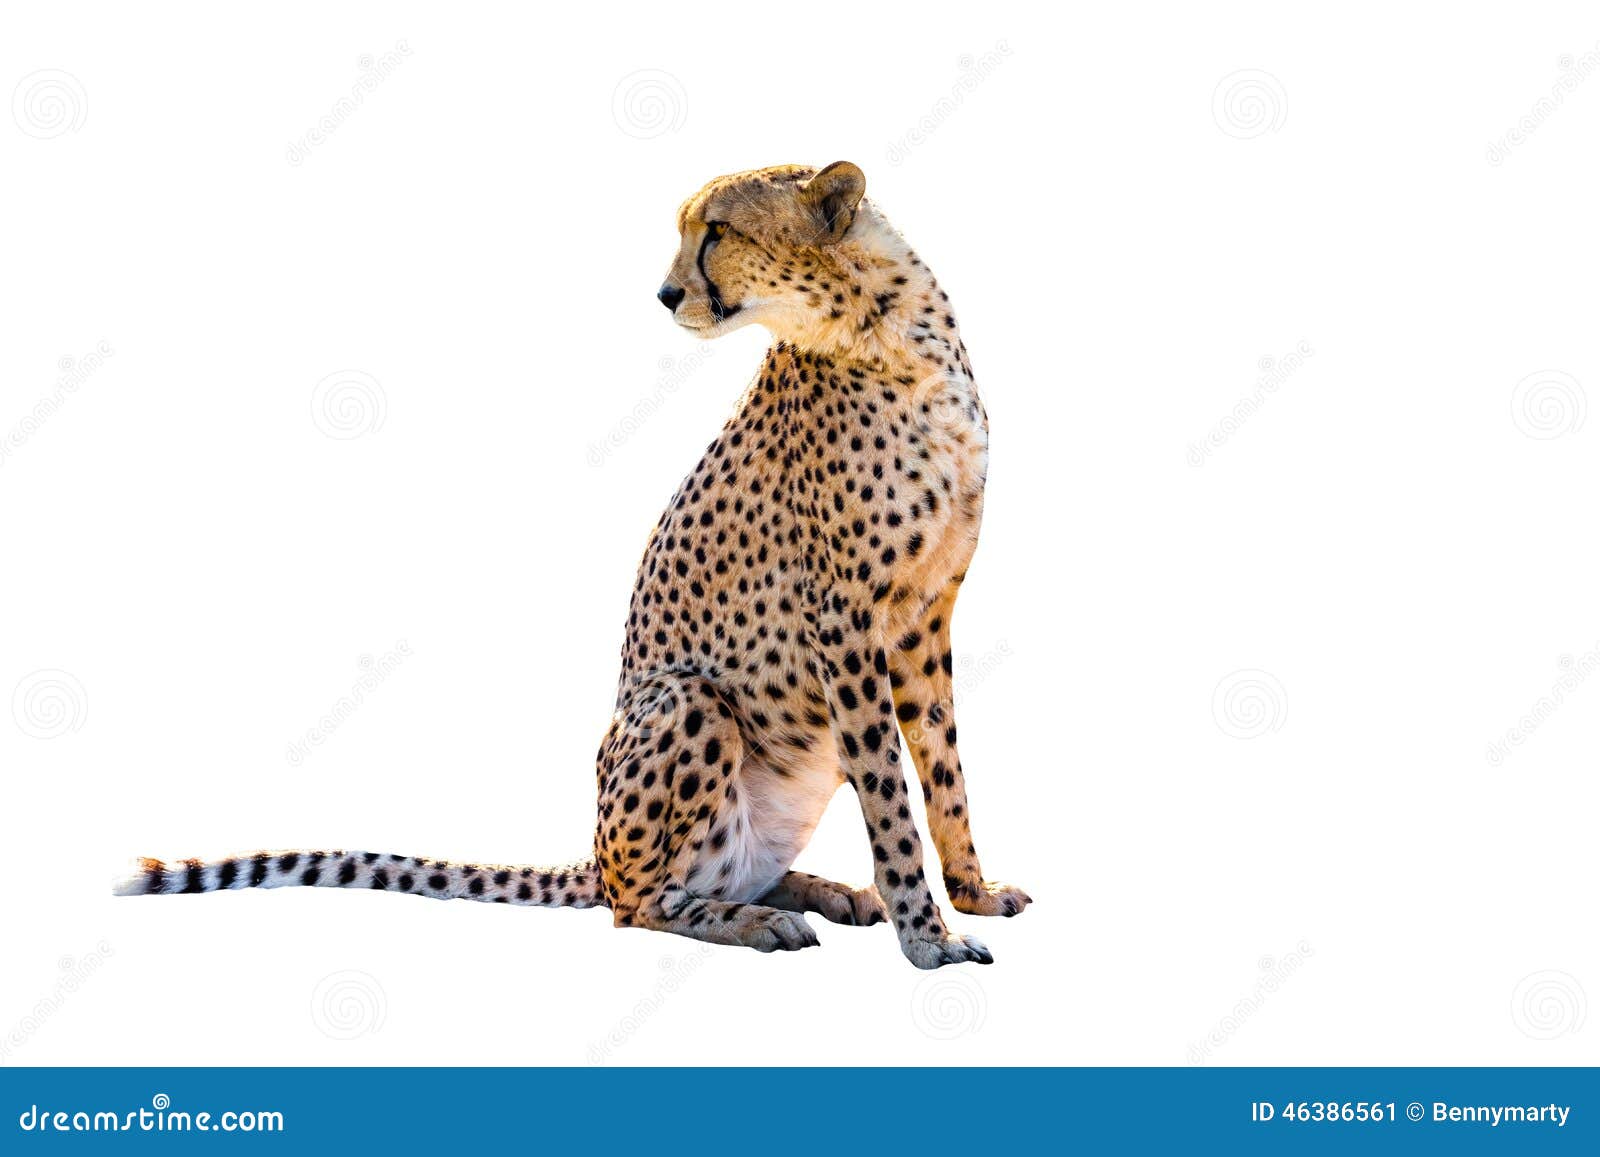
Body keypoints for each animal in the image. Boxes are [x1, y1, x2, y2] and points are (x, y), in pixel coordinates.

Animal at [114, 161, 1031, 969]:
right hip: (688, 699)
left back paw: (821, 891)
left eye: (718, 230)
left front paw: (972, 894)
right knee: (642, 902)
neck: (888, 330)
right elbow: (891, 797)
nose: (665, 294)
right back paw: (760, 920)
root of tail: (597, 852)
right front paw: (929, 937)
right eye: (688, 232)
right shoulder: (844, 621)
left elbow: (942, 770)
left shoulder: (922, 617)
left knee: (723, 873)